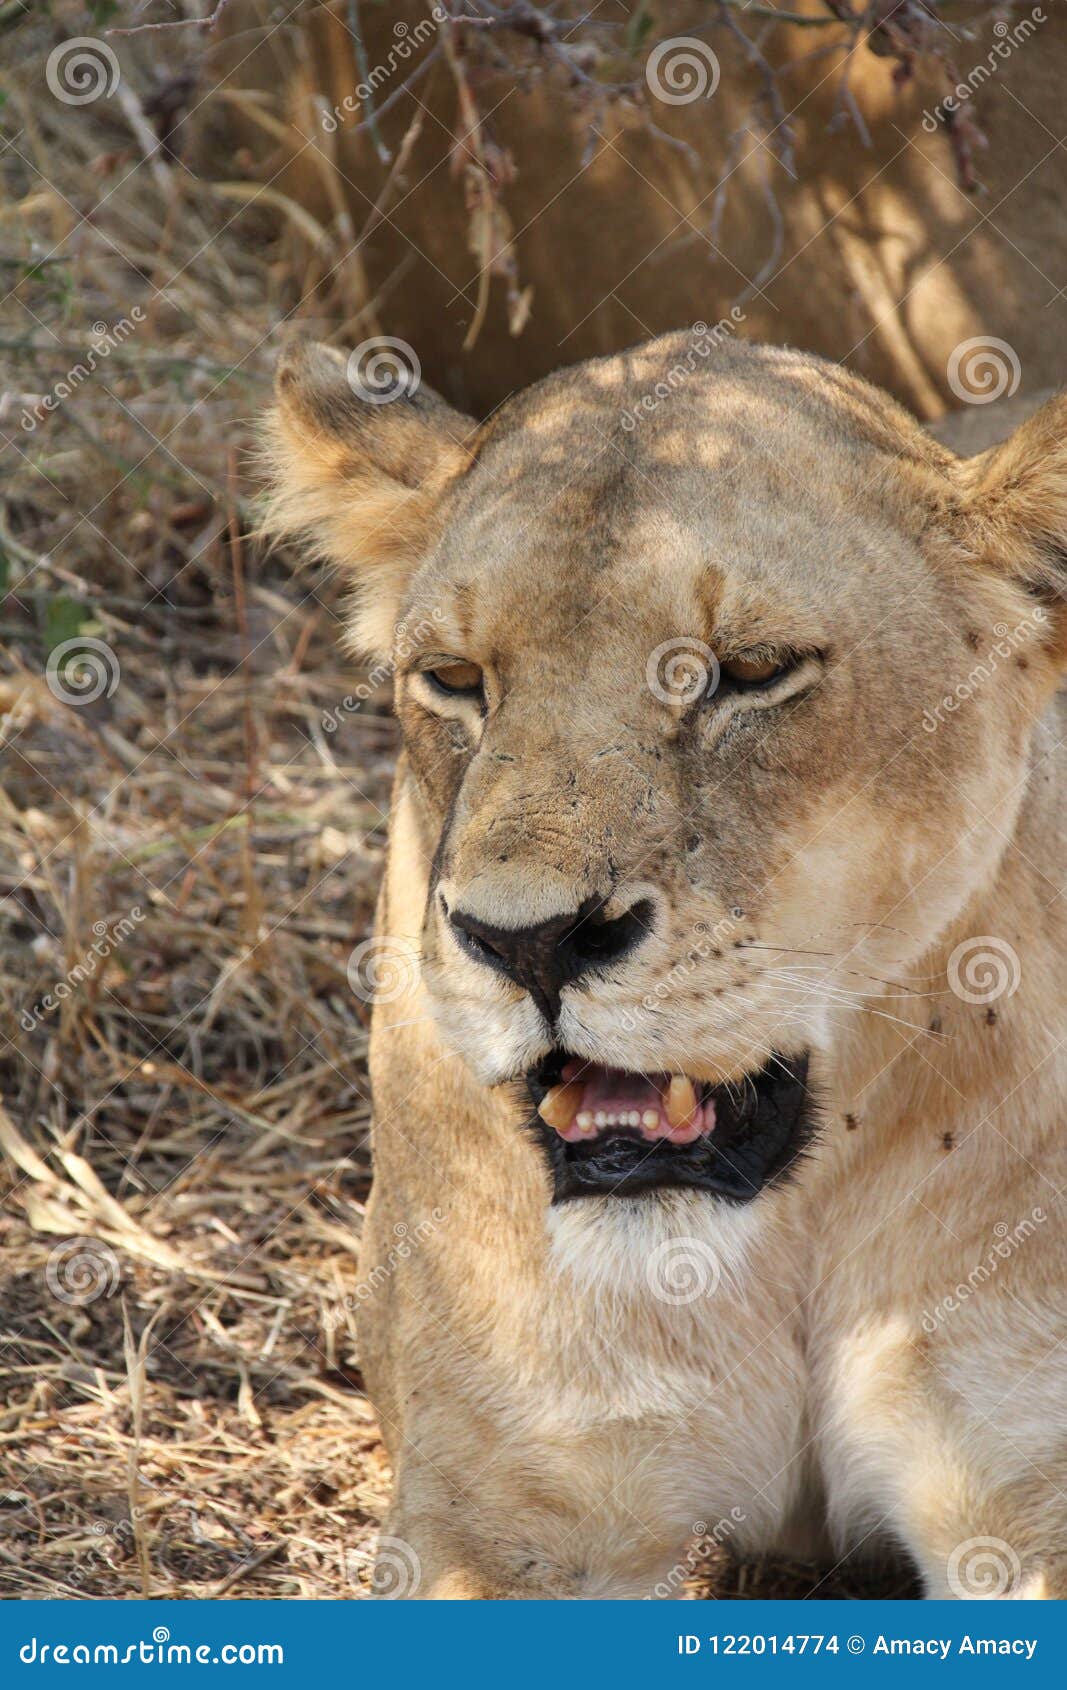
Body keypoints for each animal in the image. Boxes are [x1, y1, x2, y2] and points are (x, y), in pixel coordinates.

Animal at [266, 332, 1067, 1600]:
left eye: (748, 670)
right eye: (453, 678)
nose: (527, 941)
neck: (782, 1232)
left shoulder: (1023, 1480)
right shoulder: (514, 1516)